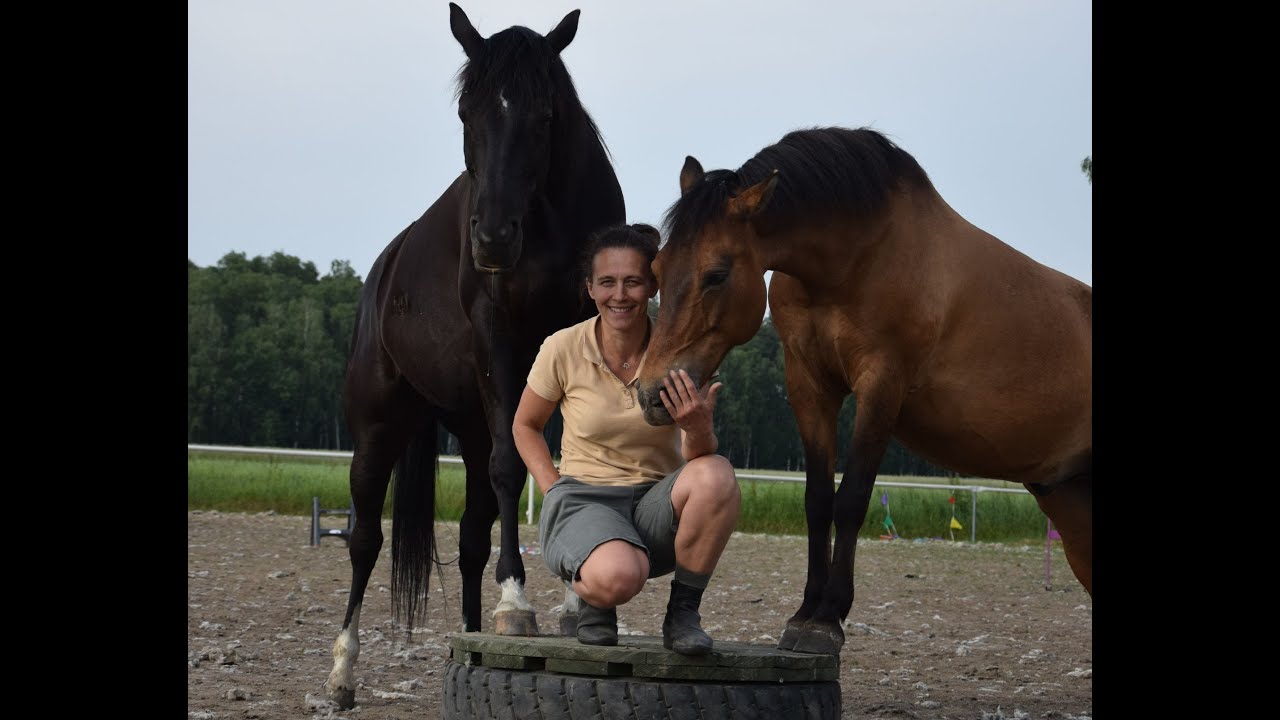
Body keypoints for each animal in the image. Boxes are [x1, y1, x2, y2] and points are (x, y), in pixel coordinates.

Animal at [324, 4, 624, 709]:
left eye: (543, 114)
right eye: (467, 112)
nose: (490, 238)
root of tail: (384, 269)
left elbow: (562, 470)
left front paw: (574, 605)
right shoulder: (500, 342)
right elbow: (515, 466)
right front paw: (516, 602)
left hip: (468, 419)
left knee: (467, 535)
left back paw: (464, 639)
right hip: (378, 427)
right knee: (365, 537)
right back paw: (342, 673)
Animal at [636, 126, 1091, 656]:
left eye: (717, 274)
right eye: (658, 268)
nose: (651, 393)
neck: (856, 260)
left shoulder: (881, 386)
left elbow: (851, 499)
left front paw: (826, 621)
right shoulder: (809, 385)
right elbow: (817, 501)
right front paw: (804, 613)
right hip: (1069, 500)